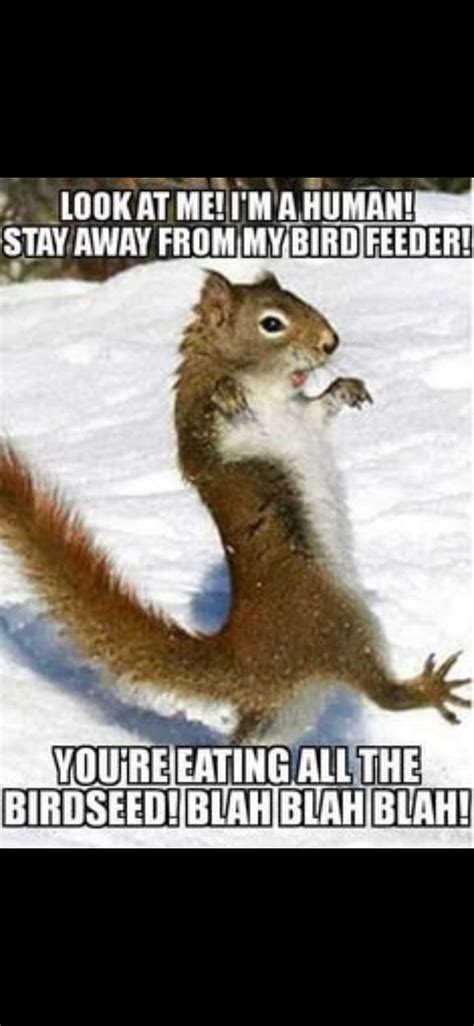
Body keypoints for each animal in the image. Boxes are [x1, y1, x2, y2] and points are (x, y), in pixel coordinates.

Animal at [0, 270, 471, 744]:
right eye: (272, 323)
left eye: (298, 296)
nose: (330, 342)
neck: (269, 387)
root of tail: (247, 662)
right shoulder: (200, 440)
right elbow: (203, 438)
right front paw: (226, 393)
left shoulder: (305, 414)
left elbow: (322, 406)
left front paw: (347, 387)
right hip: (339, 622)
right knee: (380, 692)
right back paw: (429, 689)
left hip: (281, 714)